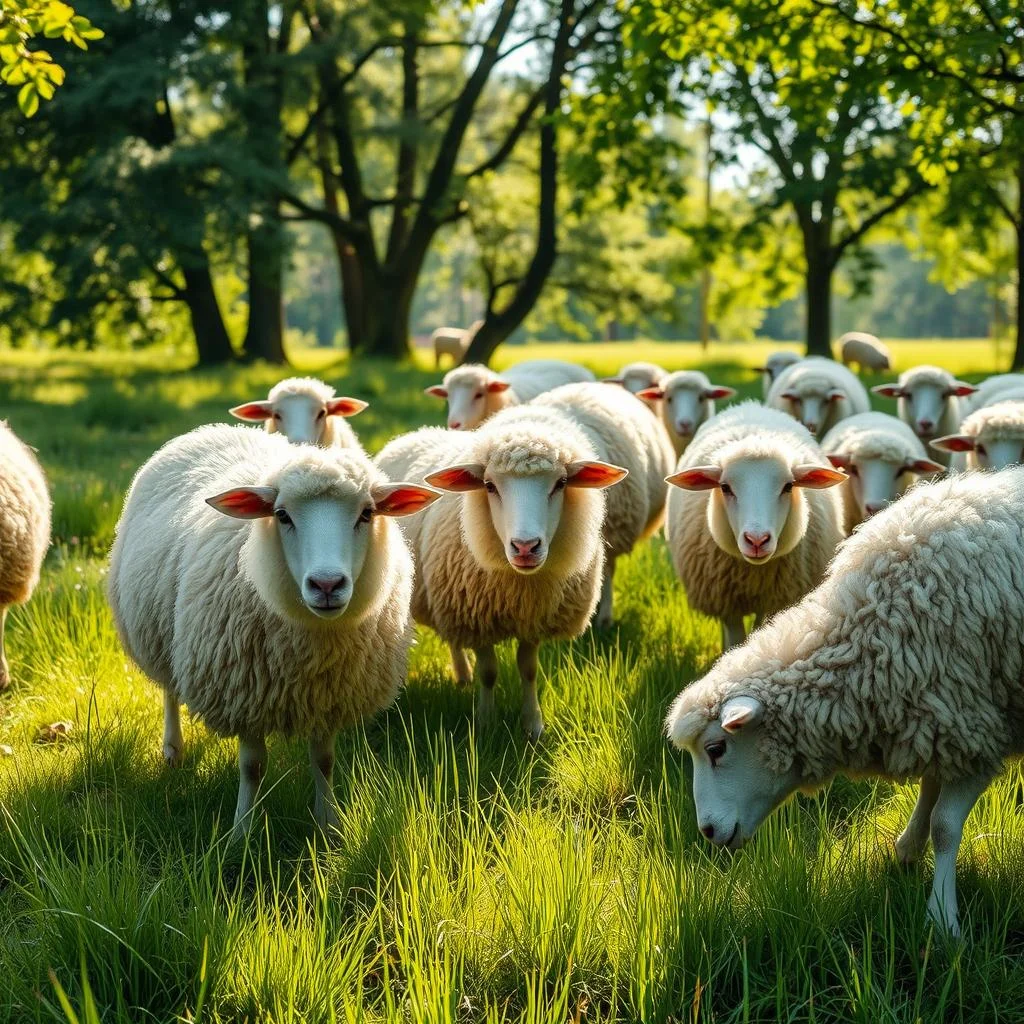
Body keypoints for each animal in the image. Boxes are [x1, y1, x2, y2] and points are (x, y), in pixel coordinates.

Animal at [107, 424, 440, 839]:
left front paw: (329, 825)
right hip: (161, 631)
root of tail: (214, 428)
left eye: (367, 513)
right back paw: (173, 749)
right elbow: (253, 767)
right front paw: (242, 832)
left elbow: (324, 760)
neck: (313, 644)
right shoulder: (243, 693)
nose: (327, 585)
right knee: (169, 689)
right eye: (282, 515)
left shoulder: (330, 696)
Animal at [376, 382, 671, 739]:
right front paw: (486, 722)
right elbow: (489, 672)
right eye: (489, 486)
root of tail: (413, 435)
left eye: (561, 484)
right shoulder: (475, 616)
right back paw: (463, 675)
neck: (519, 588)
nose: (526, 547)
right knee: (454, 639)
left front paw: (533, 725)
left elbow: (528, 669)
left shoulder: (534, 618)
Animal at [665, 402, 846, 651]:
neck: (753, 574)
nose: (757, 540)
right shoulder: (725, 602)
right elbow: (734, 639)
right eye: (725, 487)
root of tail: (751, 405)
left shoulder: (775, 601)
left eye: (788, 486)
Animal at [665, 466, 1024, 936]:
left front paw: (943, 920)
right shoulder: (938, 718)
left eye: (716, 748)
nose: (707, 831)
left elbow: (946, 826)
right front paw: (907, 850)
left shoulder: (976, 726)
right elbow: (929, 792)